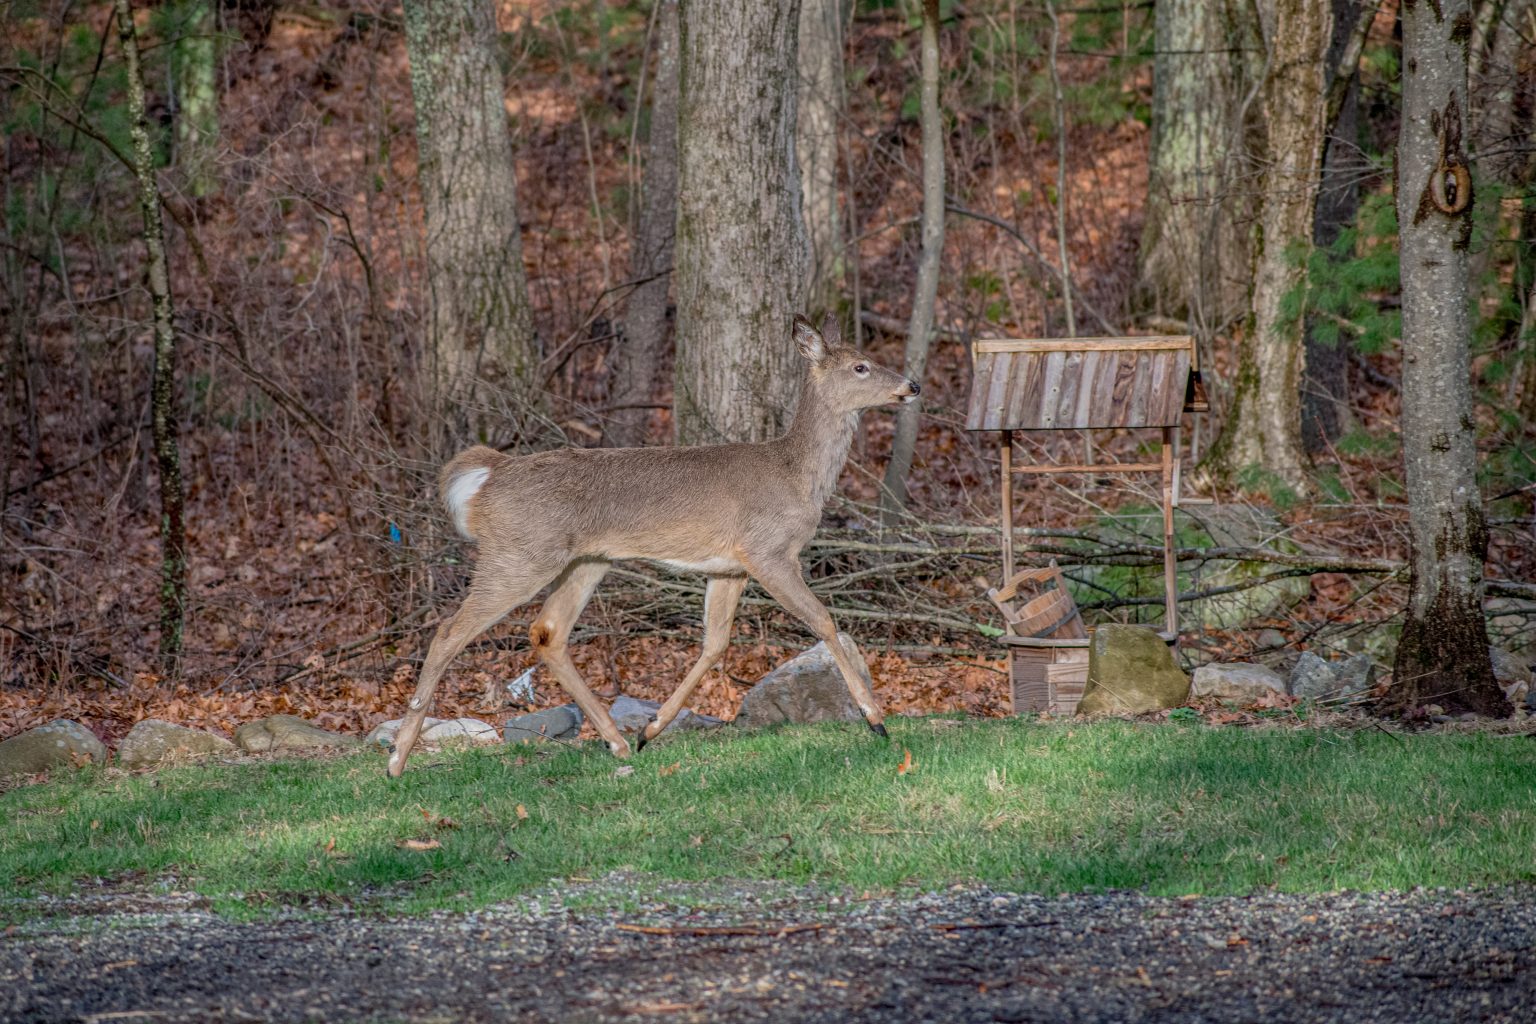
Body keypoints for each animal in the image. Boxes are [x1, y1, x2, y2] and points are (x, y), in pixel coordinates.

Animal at [386, 313, 920, 777]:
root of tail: (491, 474)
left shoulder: (729, 567)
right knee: (449, 632)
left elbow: (715, 643)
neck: (796, 475)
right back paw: (396, 759)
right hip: (519, 554)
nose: (912, 385)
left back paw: (618, 742)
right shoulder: (768, 550)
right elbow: (825, 622)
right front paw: (875, 719)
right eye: (860, 366)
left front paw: (651, 729)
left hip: (585, 561)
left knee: (547, 632)